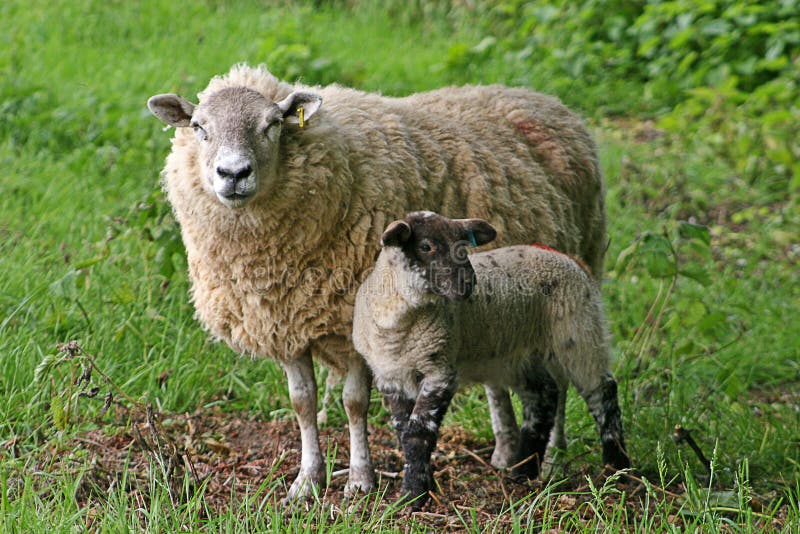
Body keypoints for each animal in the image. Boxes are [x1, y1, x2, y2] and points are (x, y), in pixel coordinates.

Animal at [145, 63, 607, 500]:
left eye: (272, 124)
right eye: (199, 126)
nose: (233, 173)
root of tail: (543, 98)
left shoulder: (352, 321)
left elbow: (354, 403)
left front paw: (360, 480)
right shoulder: (286, 323)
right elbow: (302, 403)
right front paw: (307, 481)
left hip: (569, 291)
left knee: (563, 376)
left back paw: (552, 459)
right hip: (500, 316)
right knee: (498, 378)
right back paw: (506, 452)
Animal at [352, 211, 629, 508]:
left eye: (464, 246)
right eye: (426, 246)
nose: (468, 283)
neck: (400, 323)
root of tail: (569, 258)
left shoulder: (440, 370)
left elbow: (419, 431)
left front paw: (413, 494)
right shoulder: (391, 377)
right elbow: (404, 432)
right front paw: (418, 486)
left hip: (578, 333)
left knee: (602, 392)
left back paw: (617, 467)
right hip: (518, 355)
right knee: (544, 396)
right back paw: (522, 470)